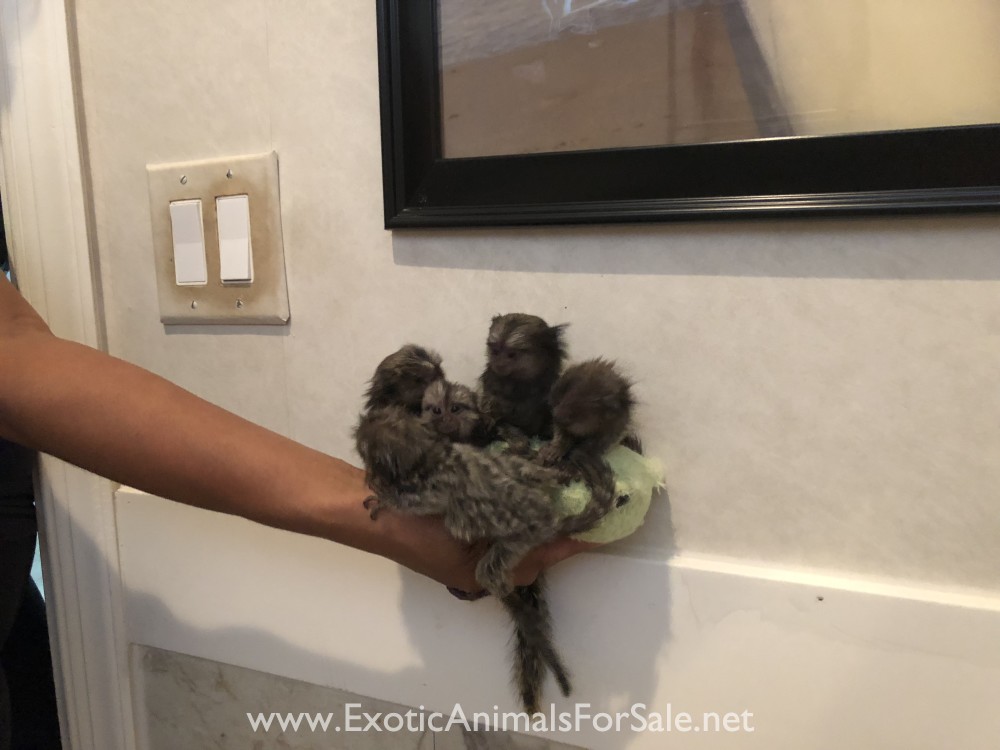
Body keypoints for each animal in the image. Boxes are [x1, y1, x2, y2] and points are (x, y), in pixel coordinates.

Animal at [478, 313, 568, 449]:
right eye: (496, 352)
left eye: (511, 355)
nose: (499, 364)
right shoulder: (490, 381)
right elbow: (490, 404)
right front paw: (488, 418)